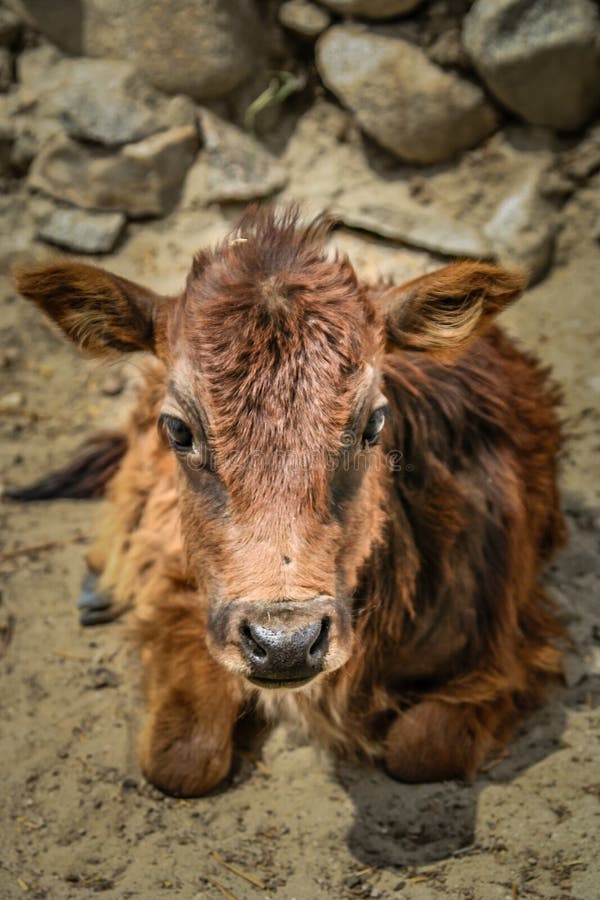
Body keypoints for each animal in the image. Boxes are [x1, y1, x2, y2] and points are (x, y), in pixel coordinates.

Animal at [11, 205, 566, 797]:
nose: (285, 642)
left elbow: (422, 749)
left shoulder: (512, 644)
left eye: (375, 423)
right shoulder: (186, 599)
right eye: (179, 430)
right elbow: (181, 758)